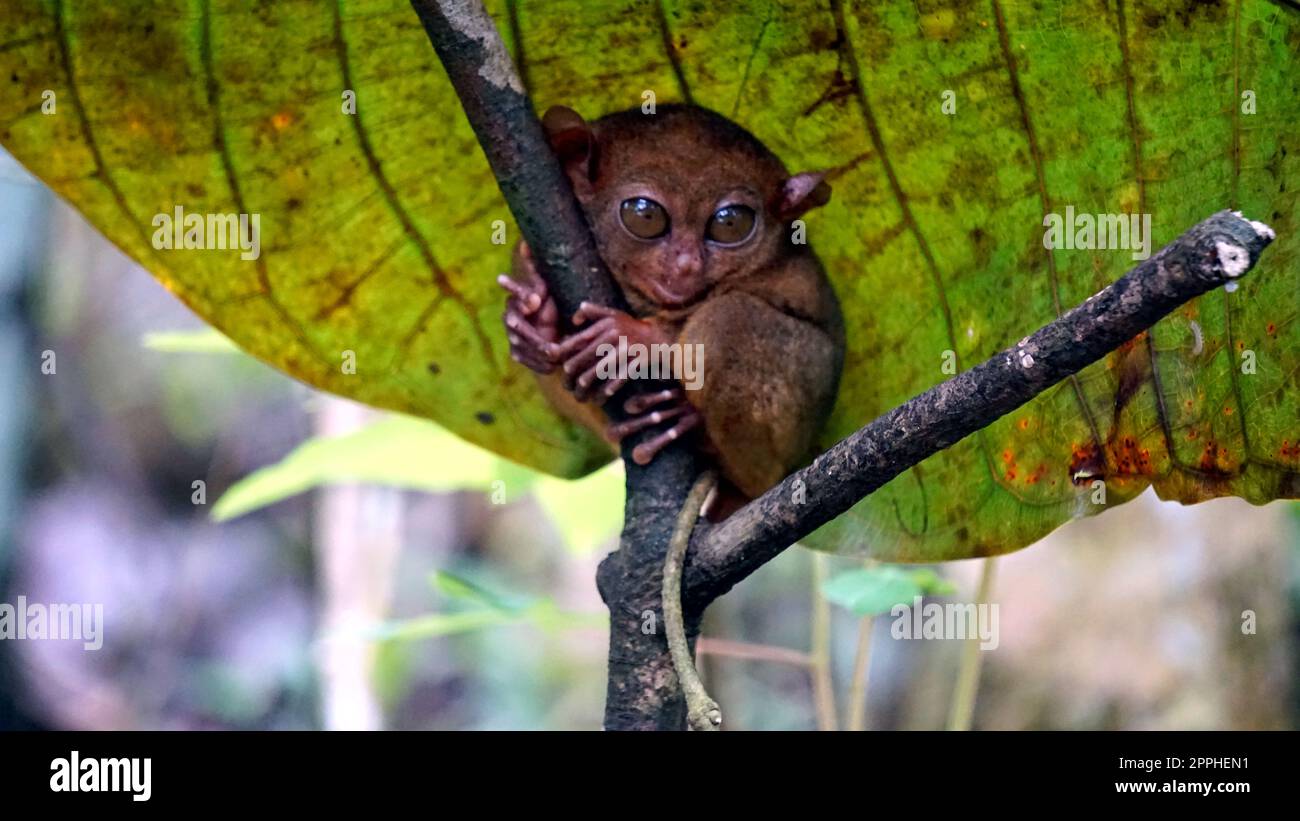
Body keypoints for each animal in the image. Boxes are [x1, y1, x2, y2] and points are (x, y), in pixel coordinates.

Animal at [498, 103, 845, 513]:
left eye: (730, 224)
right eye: (645, 215)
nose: (686, 265)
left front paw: (633, 338)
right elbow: (525, 265)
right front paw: (533, 320)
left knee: (728, 319)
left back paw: (691, 421)